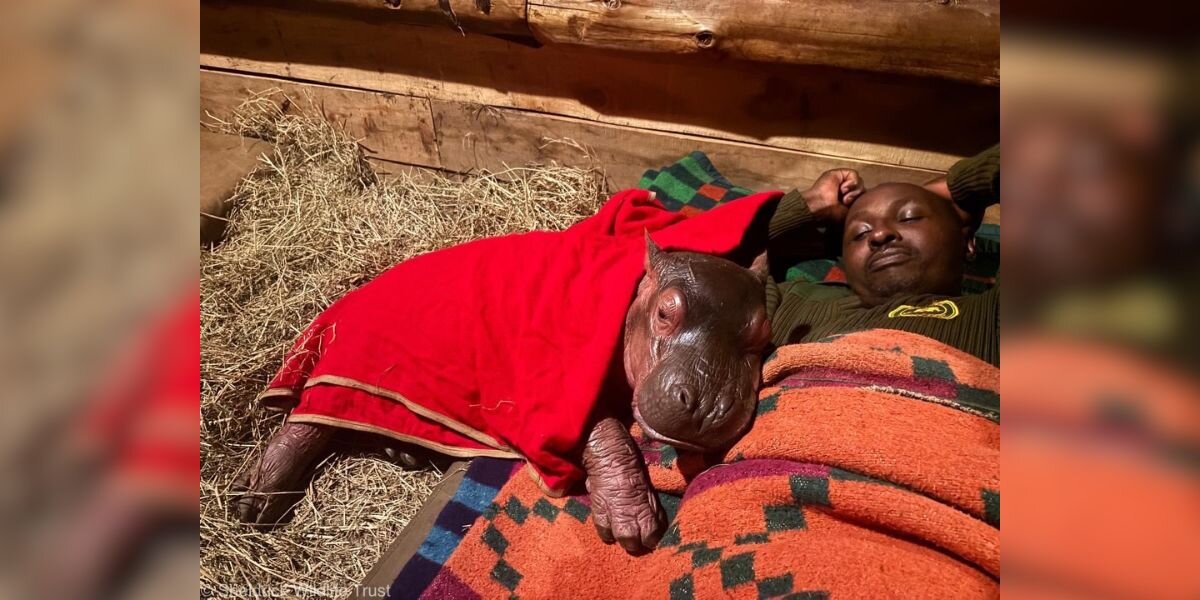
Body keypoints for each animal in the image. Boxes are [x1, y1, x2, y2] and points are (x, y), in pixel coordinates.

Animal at [231, 189, 778, 554]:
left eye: (762, 332)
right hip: (349, 363)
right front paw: (634, 528)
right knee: (305, 423)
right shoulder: (563, 392)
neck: (632, 302)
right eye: (665, 313)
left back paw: (400, 452)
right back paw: (252, 503)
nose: (705, 404)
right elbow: (607, 433)